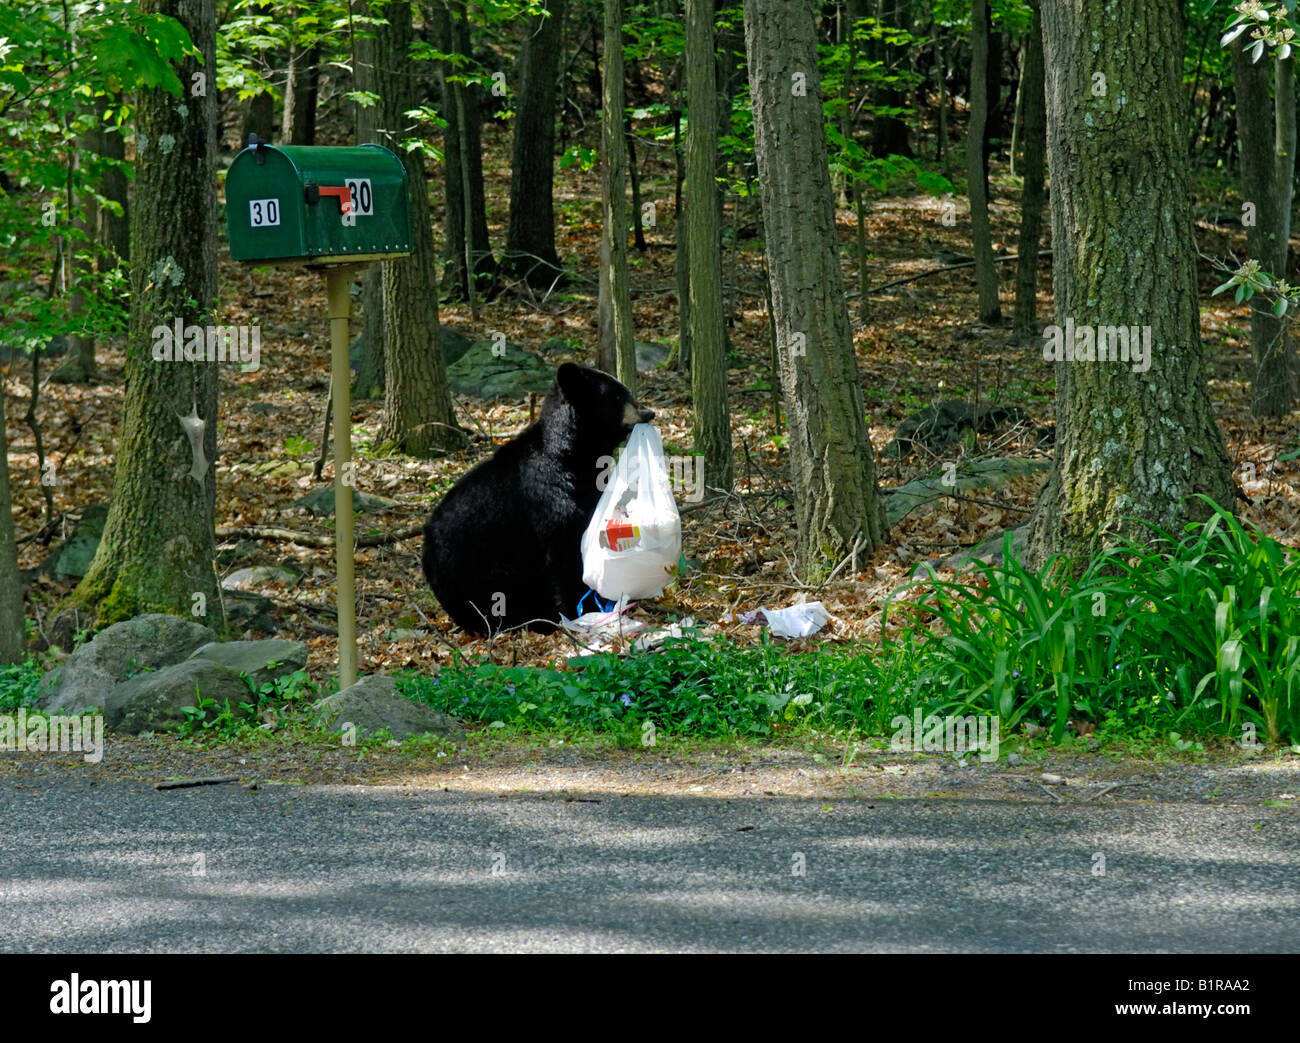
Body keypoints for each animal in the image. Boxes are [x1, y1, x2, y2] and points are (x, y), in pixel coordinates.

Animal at [421, 362, 655, 634]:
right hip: (478, 567)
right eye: (617, 396)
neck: (573, 457)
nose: (649, 412)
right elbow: (565, 550)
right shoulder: (548, 495)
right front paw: (583, 609)